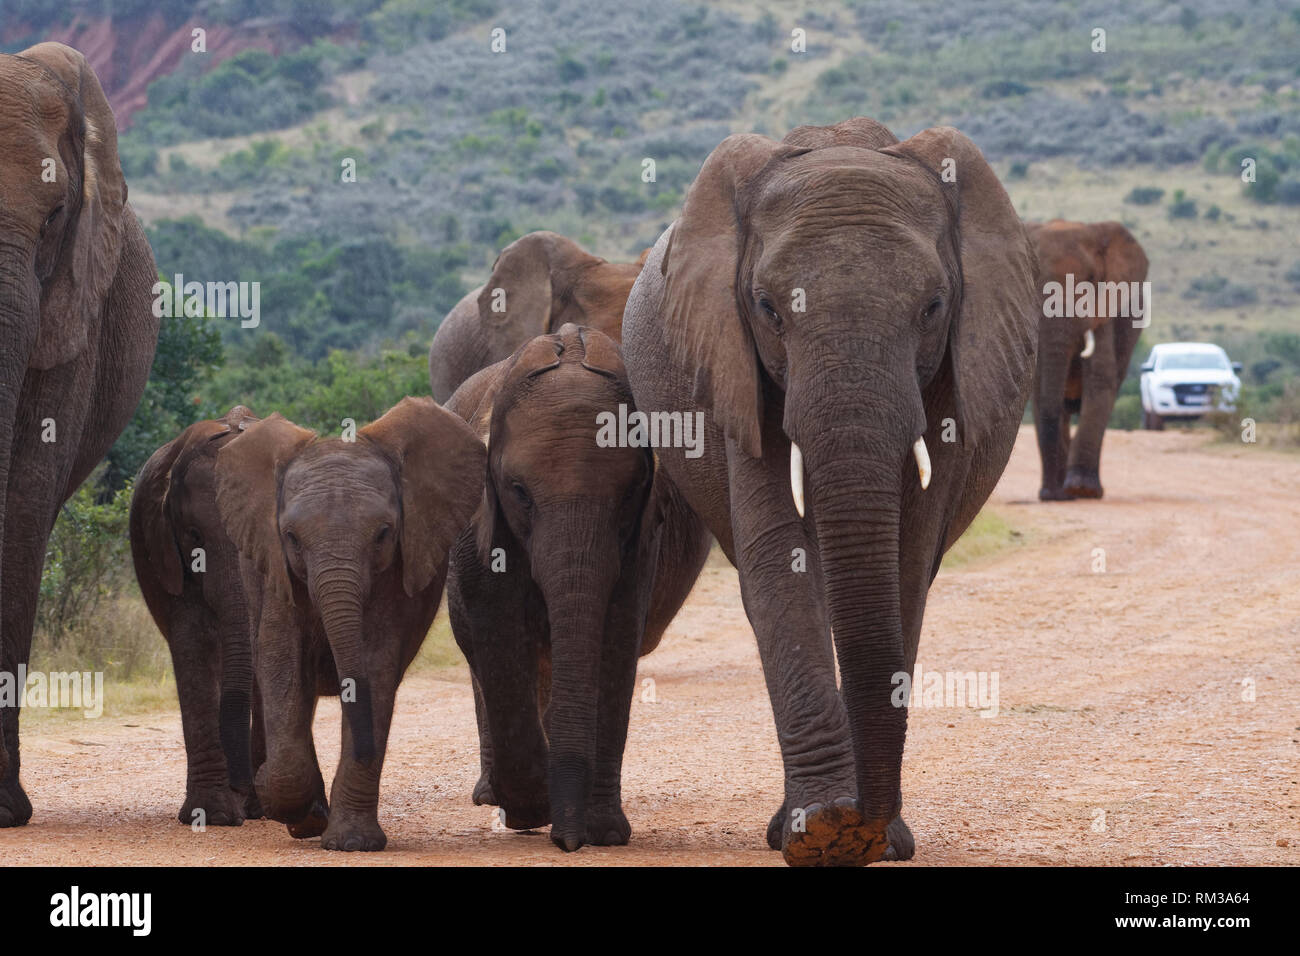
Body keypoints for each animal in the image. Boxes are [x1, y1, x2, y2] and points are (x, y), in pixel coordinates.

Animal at [212, 398, 484, 850]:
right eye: (291, 537)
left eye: (383, 534)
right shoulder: (277, 572)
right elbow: (281, 660)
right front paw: (291, 806)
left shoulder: (397, 572)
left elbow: (376, 665)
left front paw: (351, 843)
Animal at [443, 324, 711, 852]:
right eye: (519, 493)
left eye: (629, 493)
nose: (568, 844)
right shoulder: (479, 528)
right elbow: (496, 637)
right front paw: (532, 810)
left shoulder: (642, 538)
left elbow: (616, 639)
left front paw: (602, 833)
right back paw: (493, 798)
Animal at [620, 117, 1039, 865]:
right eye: (766, 309)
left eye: (933, 307)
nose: (866, 824)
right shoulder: (735, 367)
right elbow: (780, 561)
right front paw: (820, 832)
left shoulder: (949, 379)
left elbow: (903, 560)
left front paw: (874, 838)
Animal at [1026, 219, 1148, 500]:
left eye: (1091, 280)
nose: (1053, 495)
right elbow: (1041, 391)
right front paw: (1059, 494)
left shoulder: (1104, 311)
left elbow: (1100, 378)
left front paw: (1081, 489)